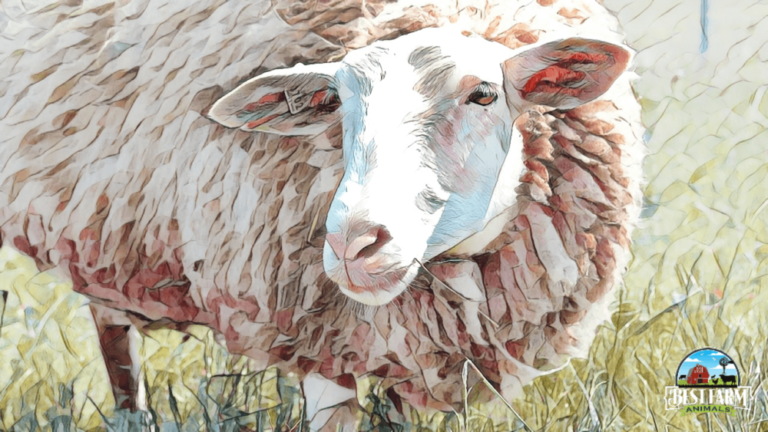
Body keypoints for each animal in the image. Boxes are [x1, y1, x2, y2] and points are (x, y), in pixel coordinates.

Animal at [0, 0, 643, 428]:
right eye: (334, 102)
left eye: (484, 94)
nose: (354, 244)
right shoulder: (317, 331)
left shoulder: (414, 346)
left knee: (115, 341)